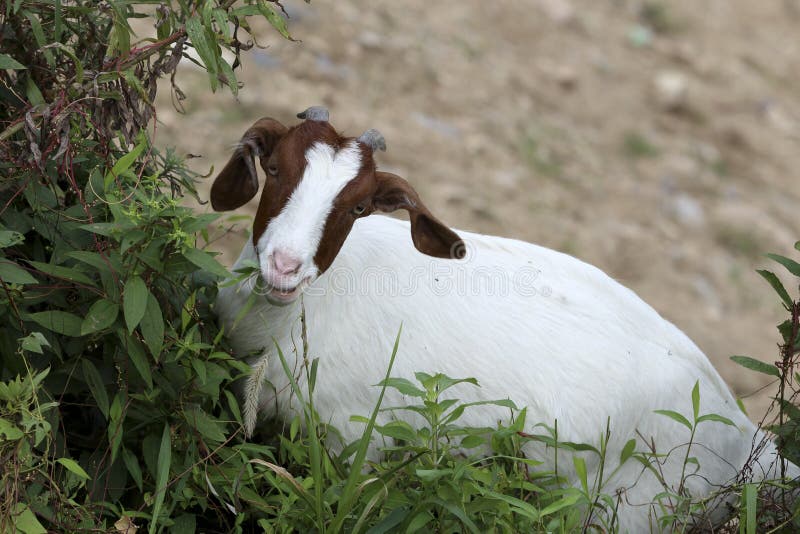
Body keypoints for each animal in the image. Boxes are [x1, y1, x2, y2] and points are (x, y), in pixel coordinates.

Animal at [212, 106, 796, 531]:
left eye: (358, 207)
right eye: (275, 169)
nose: (284, 267)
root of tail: (745, 439)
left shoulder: (354, 439)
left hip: (627, 511)